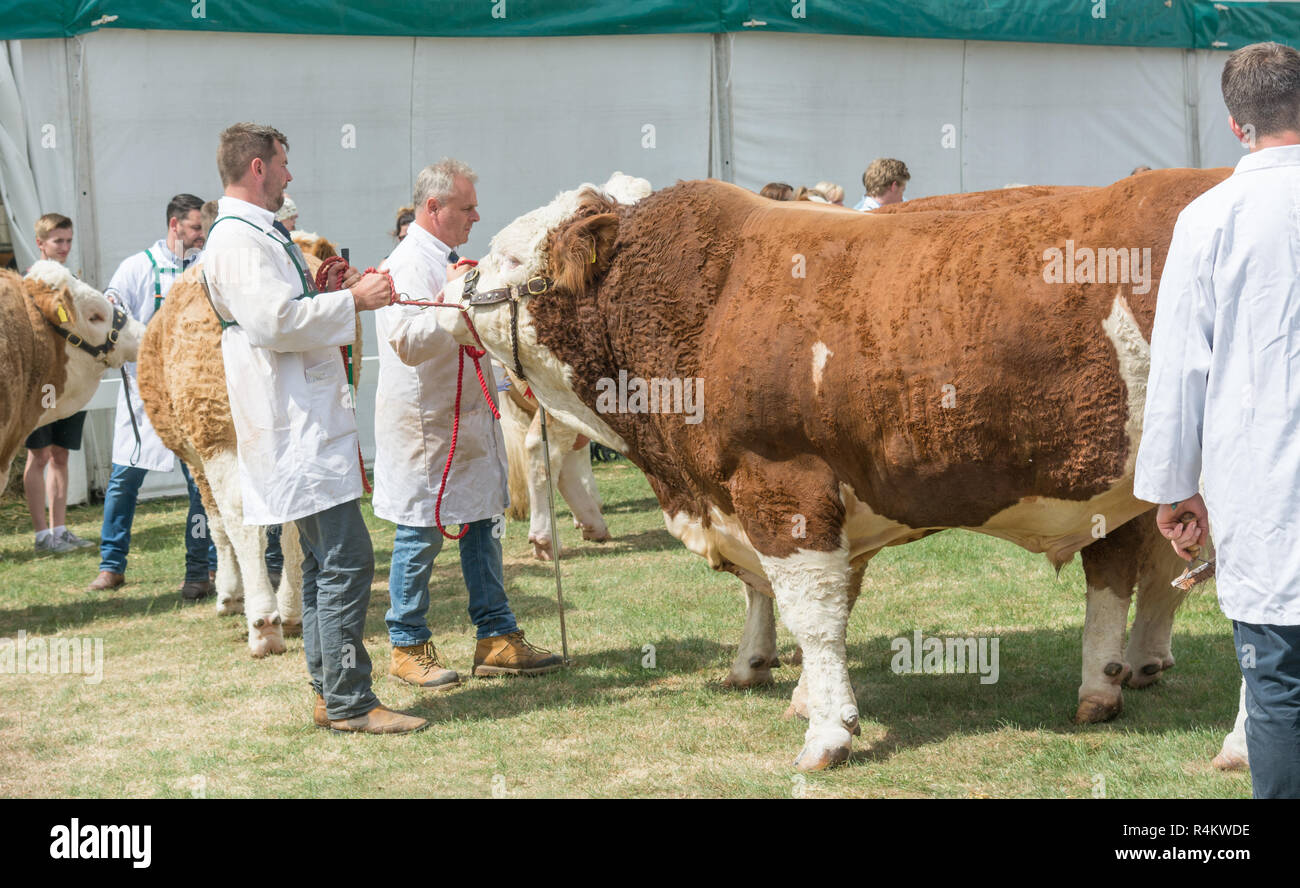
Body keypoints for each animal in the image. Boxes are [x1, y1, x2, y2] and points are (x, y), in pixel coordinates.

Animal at [136, 233, 356, 657]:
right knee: (298, 509)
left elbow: (216, 524)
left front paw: (228, 595)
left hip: (217, 435)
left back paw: (263, 621)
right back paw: (289, 610)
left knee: (239, 517)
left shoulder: (198, 460)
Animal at [422, 168, 1235, 770]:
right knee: (1140, 569)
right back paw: (1114, 681)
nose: (453, 280)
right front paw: (803, 695)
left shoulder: (783, 484)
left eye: (510, 256)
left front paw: (826, 733)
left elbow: (809, 611)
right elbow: (814, 602)